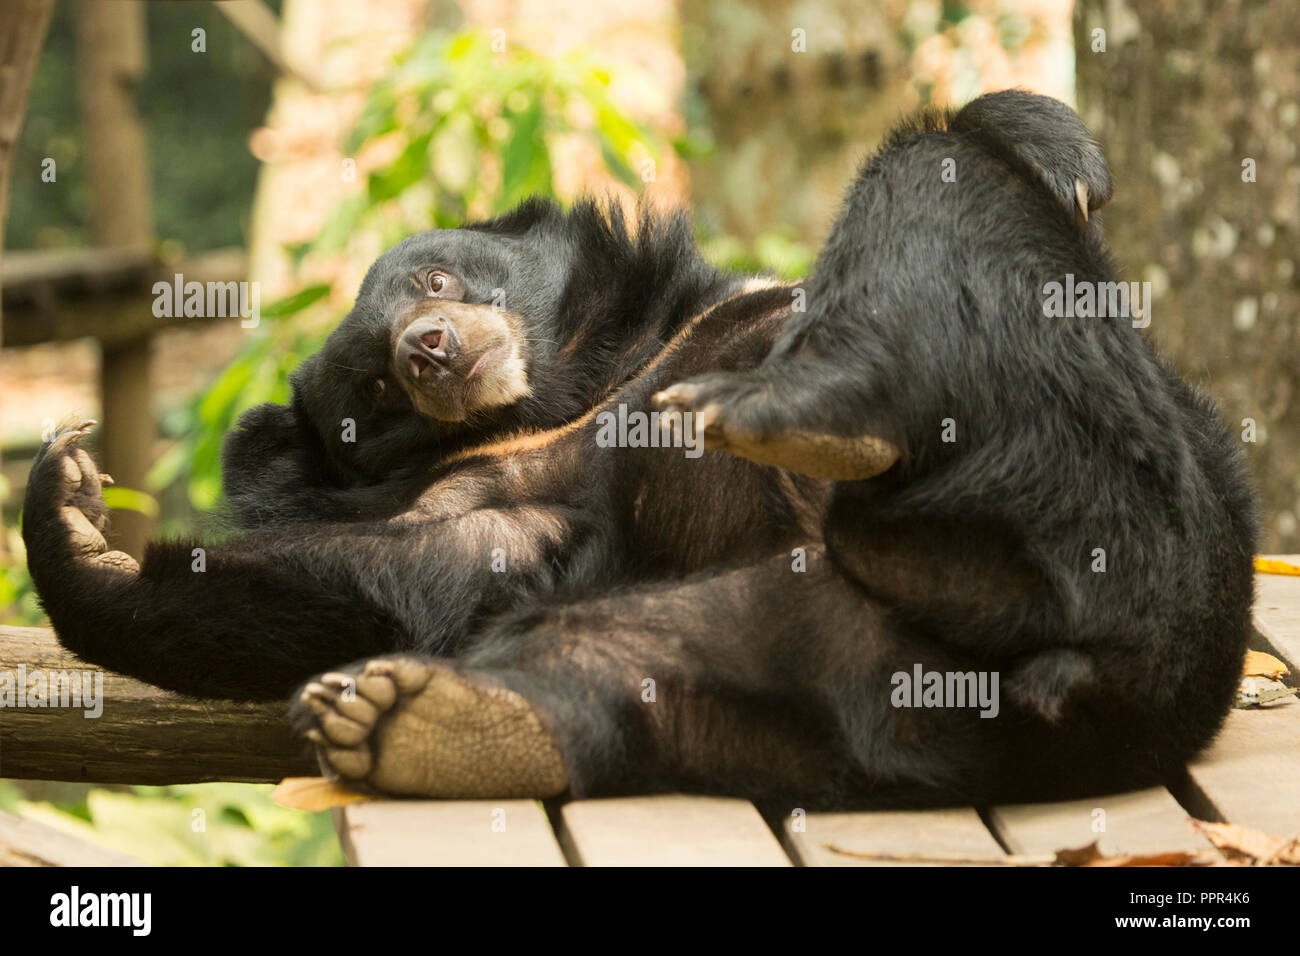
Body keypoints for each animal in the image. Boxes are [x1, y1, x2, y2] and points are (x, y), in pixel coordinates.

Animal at [21, 91, 1258, 809]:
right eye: (370, 390)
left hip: (1131, 490)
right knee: (628, 668)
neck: (578, 383)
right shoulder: (492, 494)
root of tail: (1100, 685)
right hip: (824, 659)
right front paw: (76, 515)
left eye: (433, 279)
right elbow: (433, 560)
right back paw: (424, 724)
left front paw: (1067, 158)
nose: (430, 349)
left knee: (930, 175)